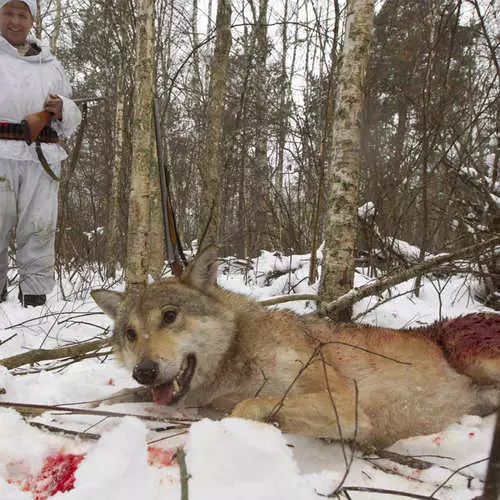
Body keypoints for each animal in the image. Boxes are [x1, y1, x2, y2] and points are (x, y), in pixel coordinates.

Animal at [91, 248, 500, 448]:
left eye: (169, 316)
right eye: (130, 333)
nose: (144, 370)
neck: (236, 355)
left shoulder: (346, 404)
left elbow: (248, 406)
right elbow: (120, 397)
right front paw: (96, 405)